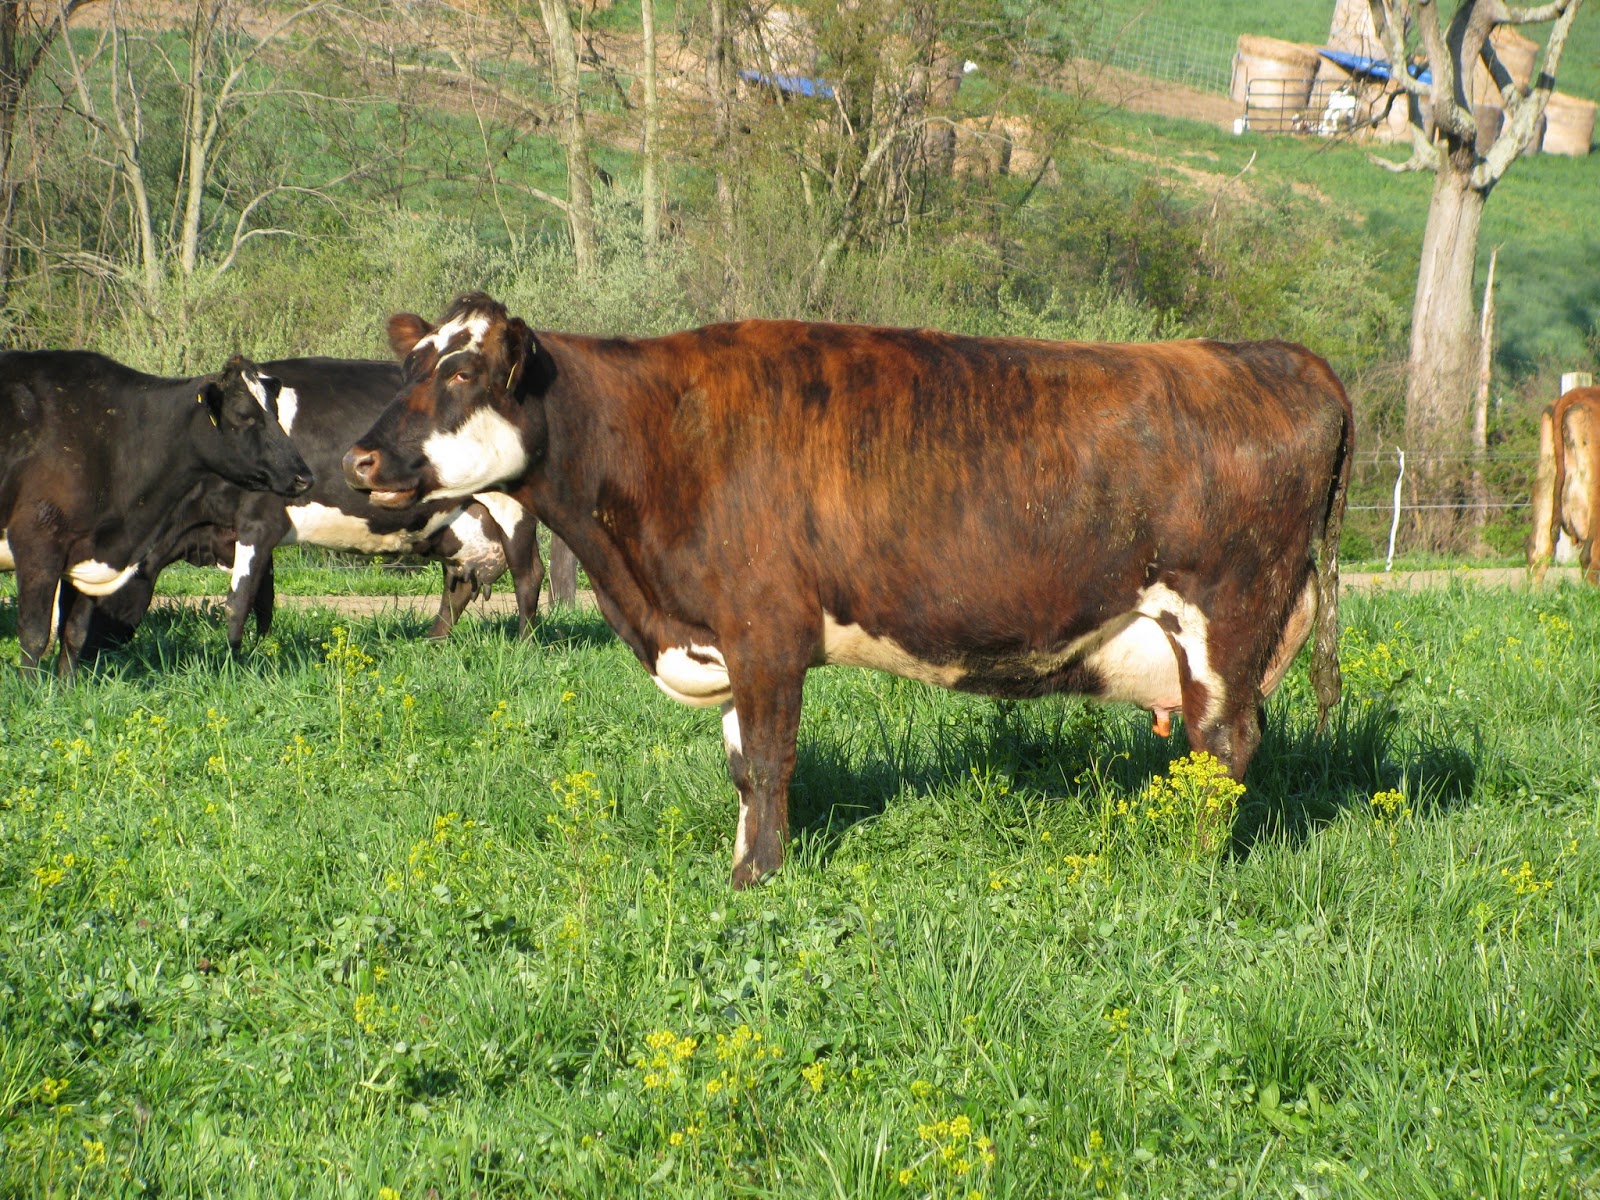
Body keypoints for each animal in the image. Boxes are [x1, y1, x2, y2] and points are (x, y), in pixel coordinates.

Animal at [1, 350, 312, 676]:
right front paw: (33, 688)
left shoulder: (90, 557)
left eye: (275, 413)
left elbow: (74, 634)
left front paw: (65, 688)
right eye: (243, 415)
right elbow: (35, 636)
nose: (304, 476)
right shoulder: (37, 546)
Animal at [345, 293, 1353, 887]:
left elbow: (768, 762)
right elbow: (739, 767)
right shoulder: (725, 636)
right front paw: (742, 863)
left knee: (1226, 745)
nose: (361, 458)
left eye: (463, 372)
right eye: (408, 367)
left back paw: (1193, 867)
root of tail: (1286, 359)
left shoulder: (767, 630)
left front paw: (760, 879)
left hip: (1227, 611)